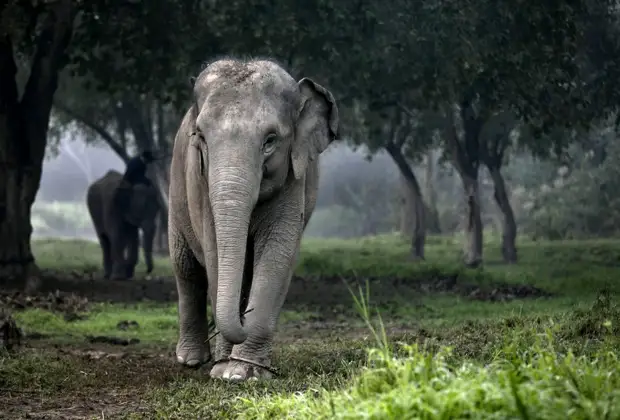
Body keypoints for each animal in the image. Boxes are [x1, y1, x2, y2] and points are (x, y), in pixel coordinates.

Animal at [168, 57, 340, 382]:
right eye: (201, 138)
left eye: (270, 141)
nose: (241, 323)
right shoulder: (199, 182)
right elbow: (214, 255)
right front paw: (221, 370)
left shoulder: (293, 178)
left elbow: (277, 252)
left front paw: (241, 372)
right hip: (175, 192)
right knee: (186, 269)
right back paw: (191, 360)